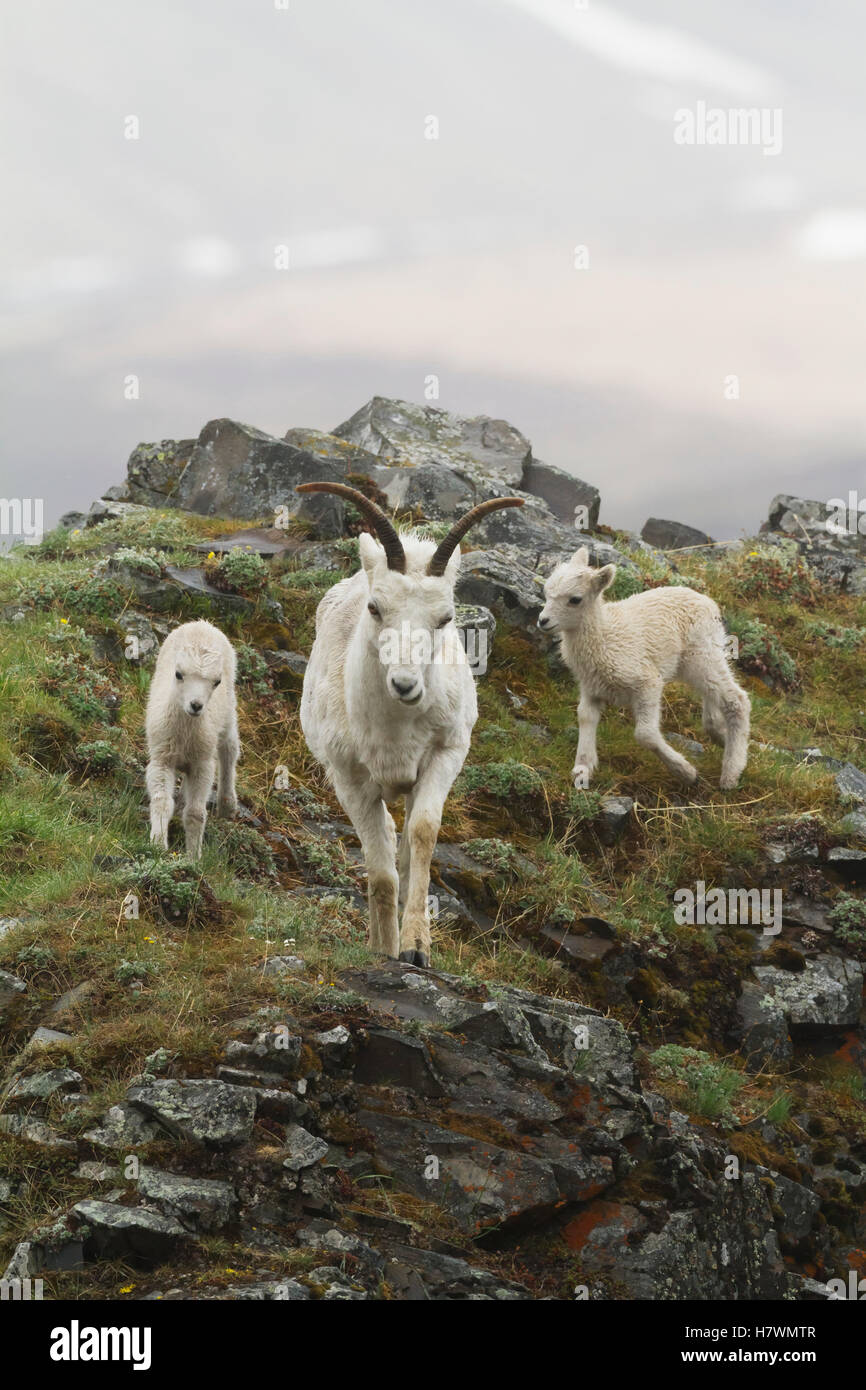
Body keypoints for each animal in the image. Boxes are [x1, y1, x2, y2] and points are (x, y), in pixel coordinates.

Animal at [145, 619, 239, 860]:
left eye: (216, 682)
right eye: (178, 674)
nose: (196, 705)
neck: (186, 732)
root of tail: (202, 623)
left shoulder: (202, 765)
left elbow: (196, 813)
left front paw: (193, 858)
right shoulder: (162, 759)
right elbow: (162, 802)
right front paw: (157, 845)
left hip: (227, 712)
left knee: (229, 749)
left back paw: (227, 803)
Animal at [297, 481, 524, 967]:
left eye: (446, 617)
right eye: (375, 607)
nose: (404, 685)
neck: (393, 731)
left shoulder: (445, 755)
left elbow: (421, 836)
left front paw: (416, 948)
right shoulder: (350, 778)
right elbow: (379, 870)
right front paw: (385, 950)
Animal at [538, 547, 750, 790]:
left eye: (575, 599)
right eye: (546, 592)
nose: (543, 621)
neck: (604, 636)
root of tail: (707, 601)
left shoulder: (646, 681)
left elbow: (645, 734)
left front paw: (686, 772)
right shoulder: (592, 688)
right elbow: (585, 717)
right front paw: (583, 768)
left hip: (702, 654)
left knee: (737, 700)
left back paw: (731, 772)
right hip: (691, 663)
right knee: (712, 695)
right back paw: (721, 735)